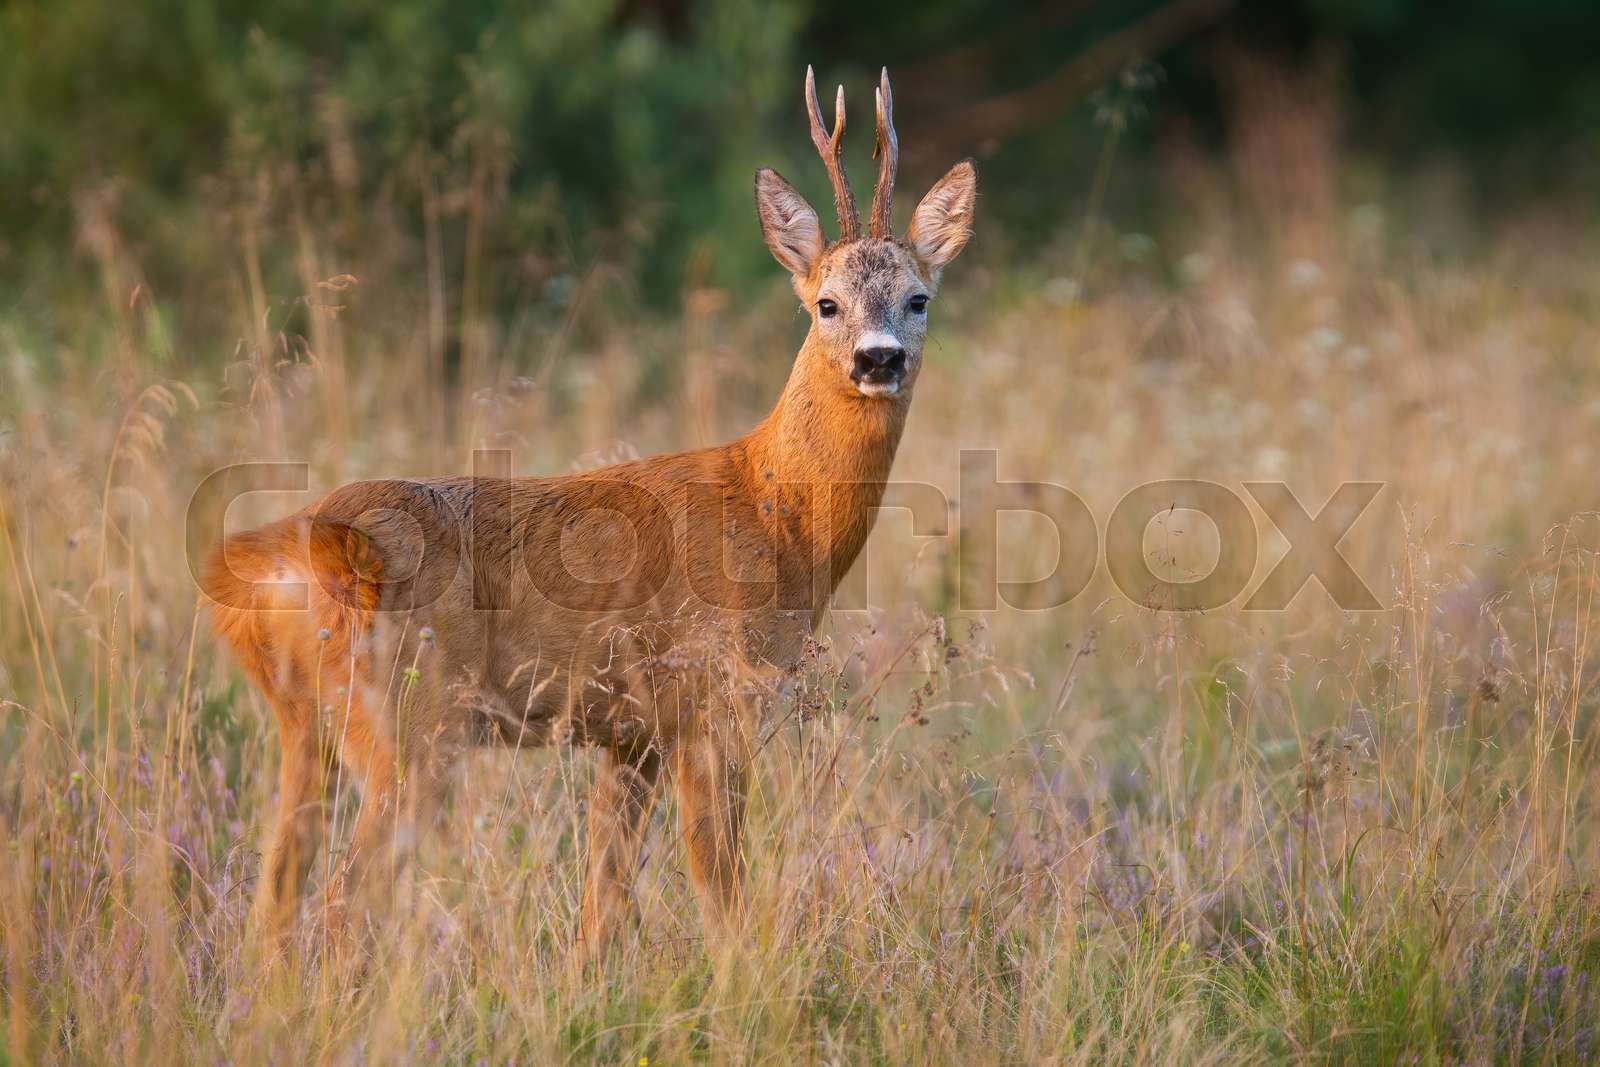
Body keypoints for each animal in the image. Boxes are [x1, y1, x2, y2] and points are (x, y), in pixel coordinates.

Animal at [202, 66, 977, 955]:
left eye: (918, 299)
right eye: (826, 303)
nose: (879, 359)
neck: (773, 512)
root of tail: (283, 549)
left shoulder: (630, 733)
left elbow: (599, 912)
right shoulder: (715, 699)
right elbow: (722, 891)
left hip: (307, 727)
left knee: (274, 901)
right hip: (409, 723)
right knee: (339, 906)